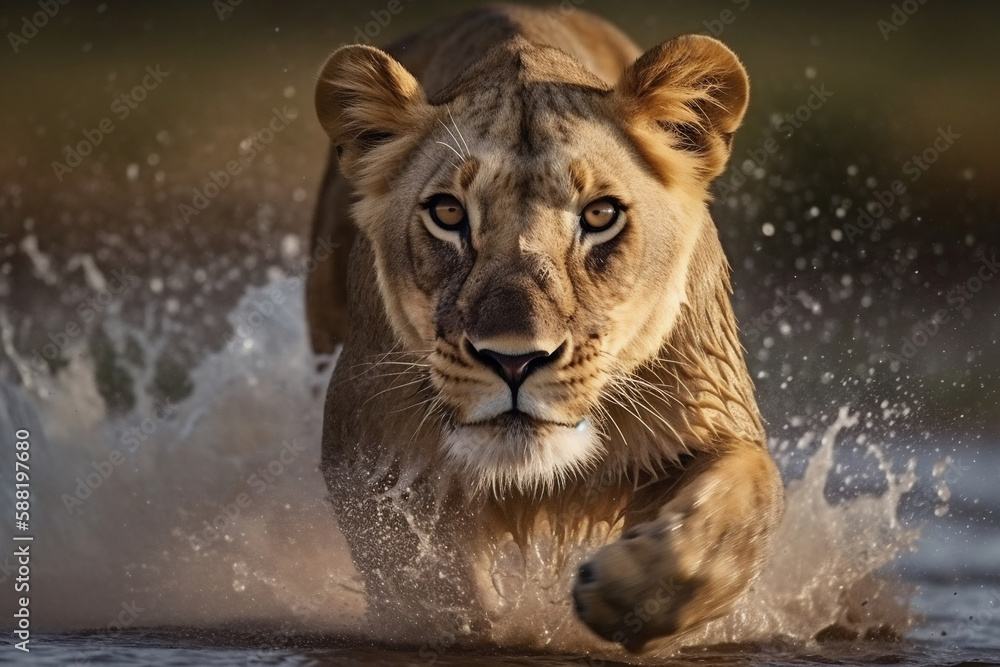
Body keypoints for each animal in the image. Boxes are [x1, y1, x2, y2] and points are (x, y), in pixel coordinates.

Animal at [307, 3, 784, 652]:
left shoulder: (713, 412)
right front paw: (468, 624)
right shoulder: (370, 456)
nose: (514, 360)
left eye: (600, 215)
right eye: (448, 213)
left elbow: (742, 506)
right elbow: (423, 579)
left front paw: (626, 598)